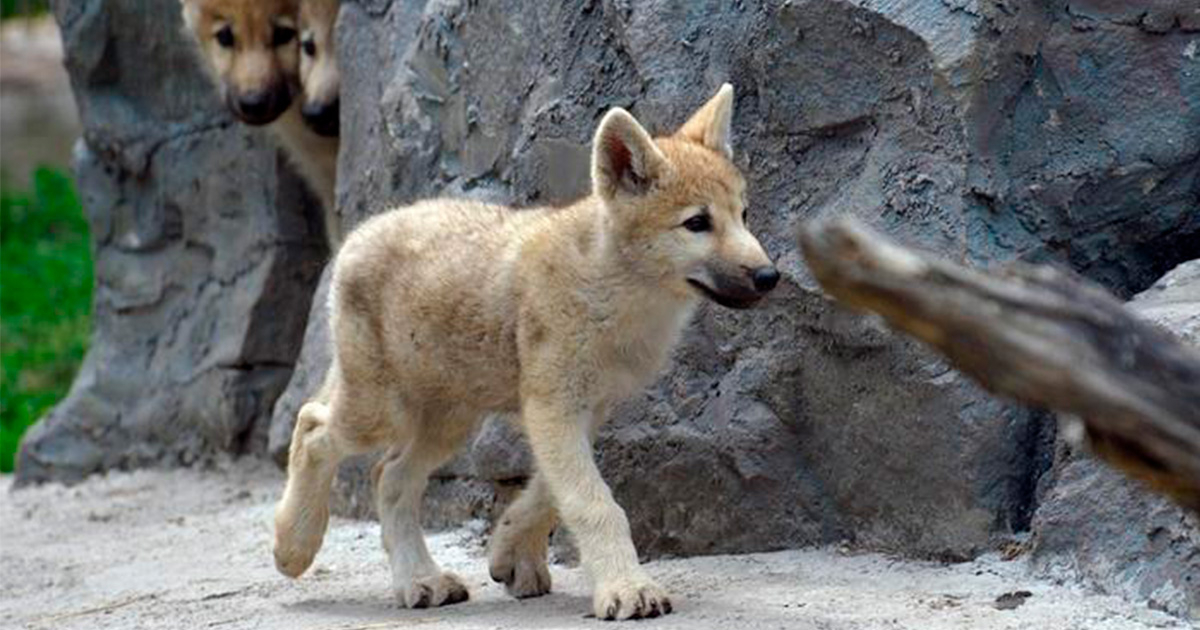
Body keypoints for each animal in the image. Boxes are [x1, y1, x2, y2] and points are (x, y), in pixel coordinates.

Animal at [272, 84, 779, 621]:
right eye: (697, 223)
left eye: (743, 215)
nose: (769, 276)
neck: (615, 292)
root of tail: (359, 233)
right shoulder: (553, 408)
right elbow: (595, 503)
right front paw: (627, 588)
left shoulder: (582, 411)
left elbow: (548, 493)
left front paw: (511, 552)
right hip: (381, 412)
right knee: (313, 426)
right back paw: (294, 545)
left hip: (449, 420)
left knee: (388, 476)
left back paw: (420, 580)